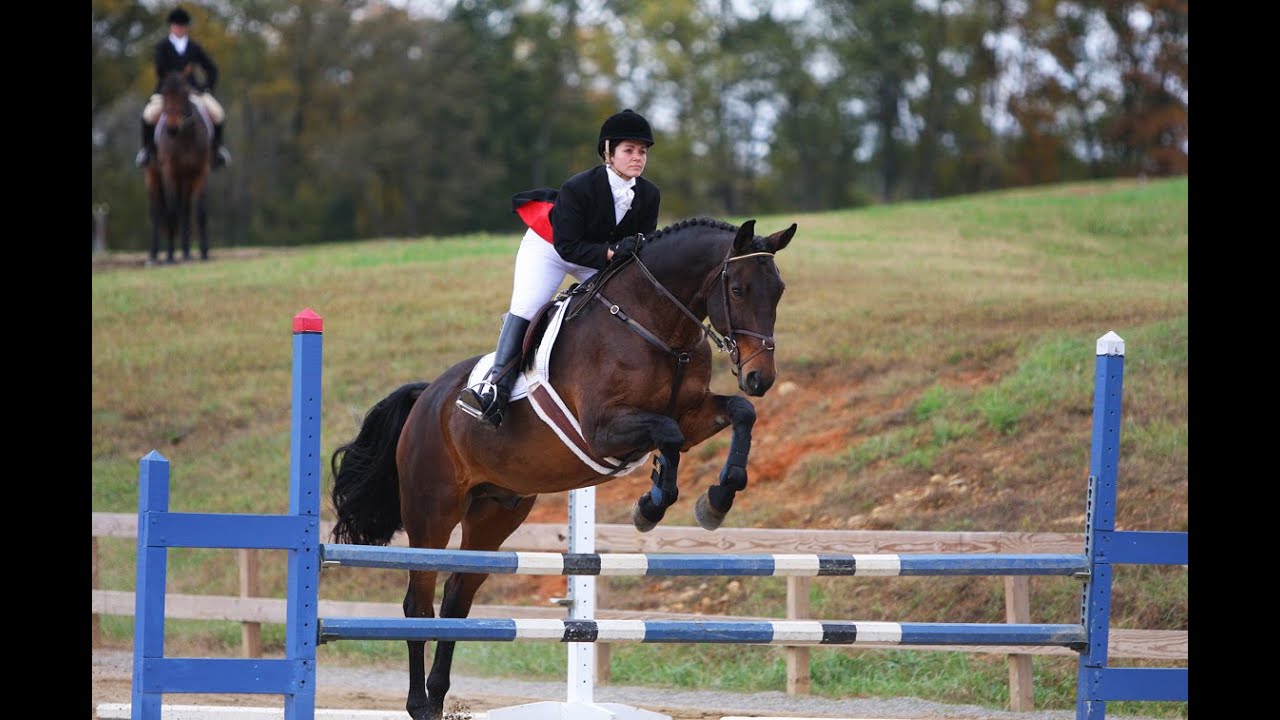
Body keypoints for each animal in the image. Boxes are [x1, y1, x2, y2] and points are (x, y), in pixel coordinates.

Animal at [144, 70, 212, 265]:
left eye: (184, 93)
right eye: (164, 93)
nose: (172, 128)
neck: (186, 137)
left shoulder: (201, 171)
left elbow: (200, 212)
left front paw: (204, 253)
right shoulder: (169, 172)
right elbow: (171, 212)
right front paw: (169, 256)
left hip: (185, 180)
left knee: (185, 211)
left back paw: (187, 253)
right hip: (152, 176)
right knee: (157, 213)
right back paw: (154, 255)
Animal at [329, 217, 796, 720]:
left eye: (778, 290)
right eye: (738, 288)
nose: (760, 378)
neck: (656, 326)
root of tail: (426, 397)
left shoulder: (692, 415)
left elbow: (738, 415)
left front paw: (716, 500)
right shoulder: (603, 429)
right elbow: (667, 434)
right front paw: (651, 505)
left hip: (496, 512)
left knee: (457, 596)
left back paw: (437, 697)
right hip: (431, 511)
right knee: (418, 601)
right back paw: (419, 703)